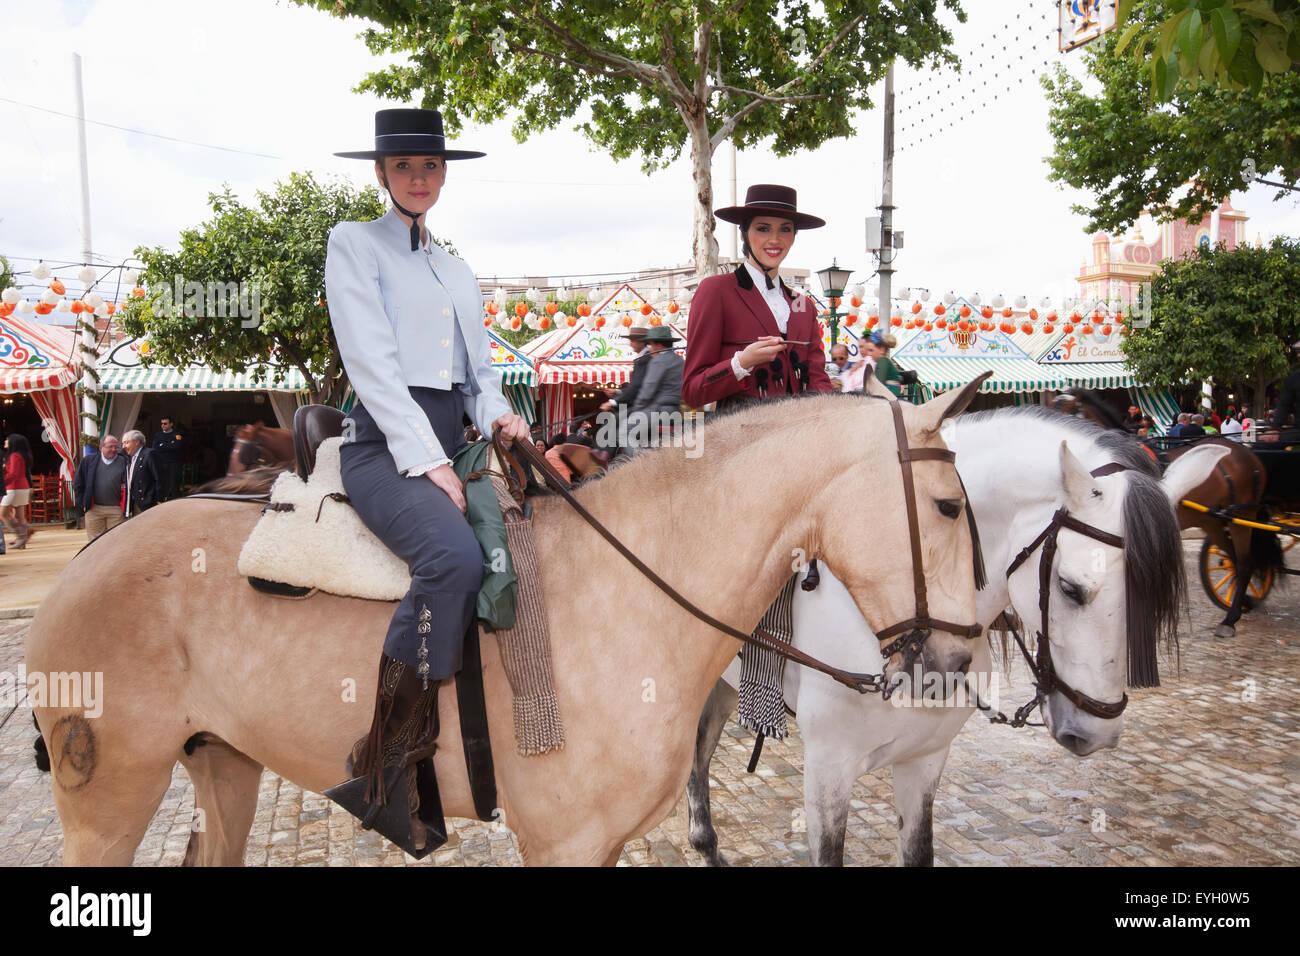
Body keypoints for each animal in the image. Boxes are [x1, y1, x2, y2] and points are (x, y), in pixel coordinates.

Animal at [26, 384, 985, 867]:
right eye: (946, 505)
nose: (955, 661)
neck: (632, 584)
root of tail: (92, 556)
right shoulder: (562, 844)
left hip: (223, 762)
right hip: (108, 802)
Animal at [685, 404, 1231, 866]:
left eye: (1150, 606)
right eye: (1070, 588)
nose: (1096, 733)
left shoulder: (924, 761)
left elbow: (918, 850)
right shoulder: (827, 771)